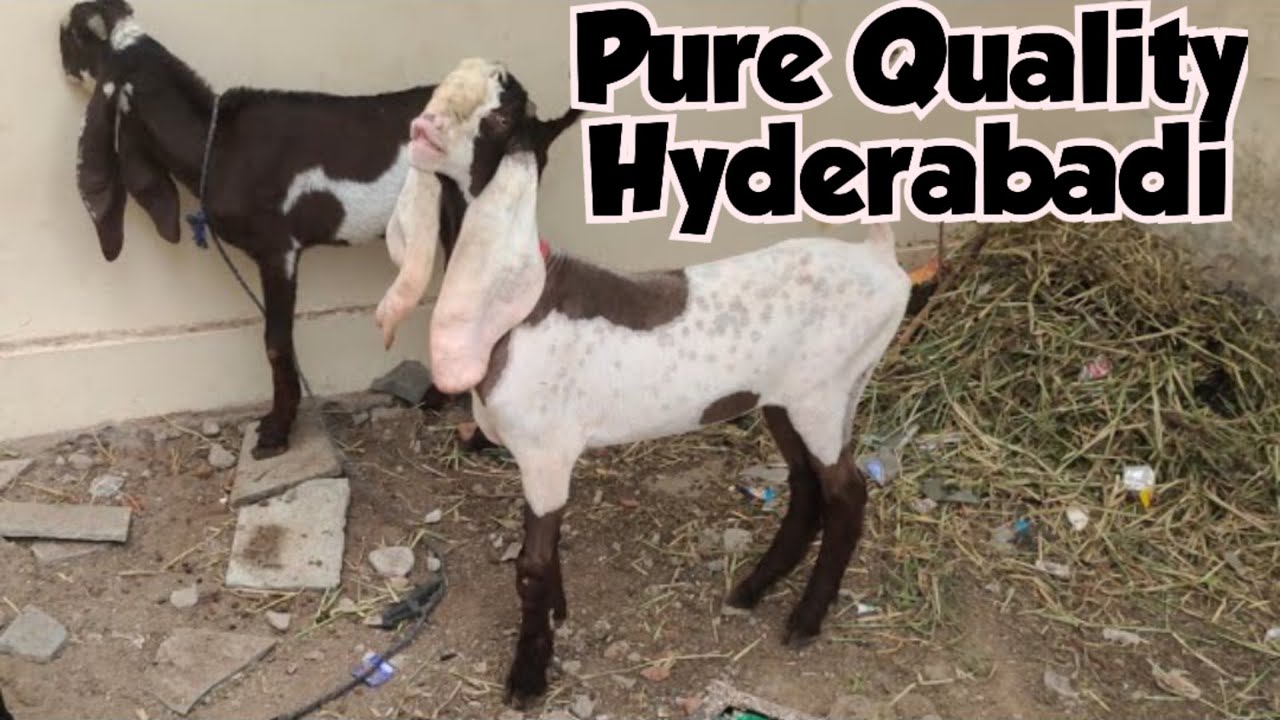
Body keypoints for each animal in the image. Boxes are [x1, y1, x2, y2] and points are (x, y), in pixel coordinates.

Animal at [58, 0, 564, 457]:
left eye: (77, 37)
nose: (60, 55)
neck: (214, 142)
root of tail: (531, 120)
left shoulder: (277, 248)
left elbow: (276, 342)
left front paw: (275, 433)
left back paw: (481, 434)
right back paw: (440, 399)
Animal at [377, 57, 914, 707]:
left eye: (501, 117)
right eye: (436, 95)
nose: (421, 131)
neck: (525, 302)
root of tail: (881, 260)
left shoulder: (545, 453)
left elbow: (531, 568)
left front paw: (528, 677)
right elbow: (546, 556)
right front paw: (557, 618)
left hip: (825, 391)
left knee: (847, 494)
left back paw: (805, 620)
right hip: (785, 398)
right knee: (808, 488)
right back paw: (752, 590)